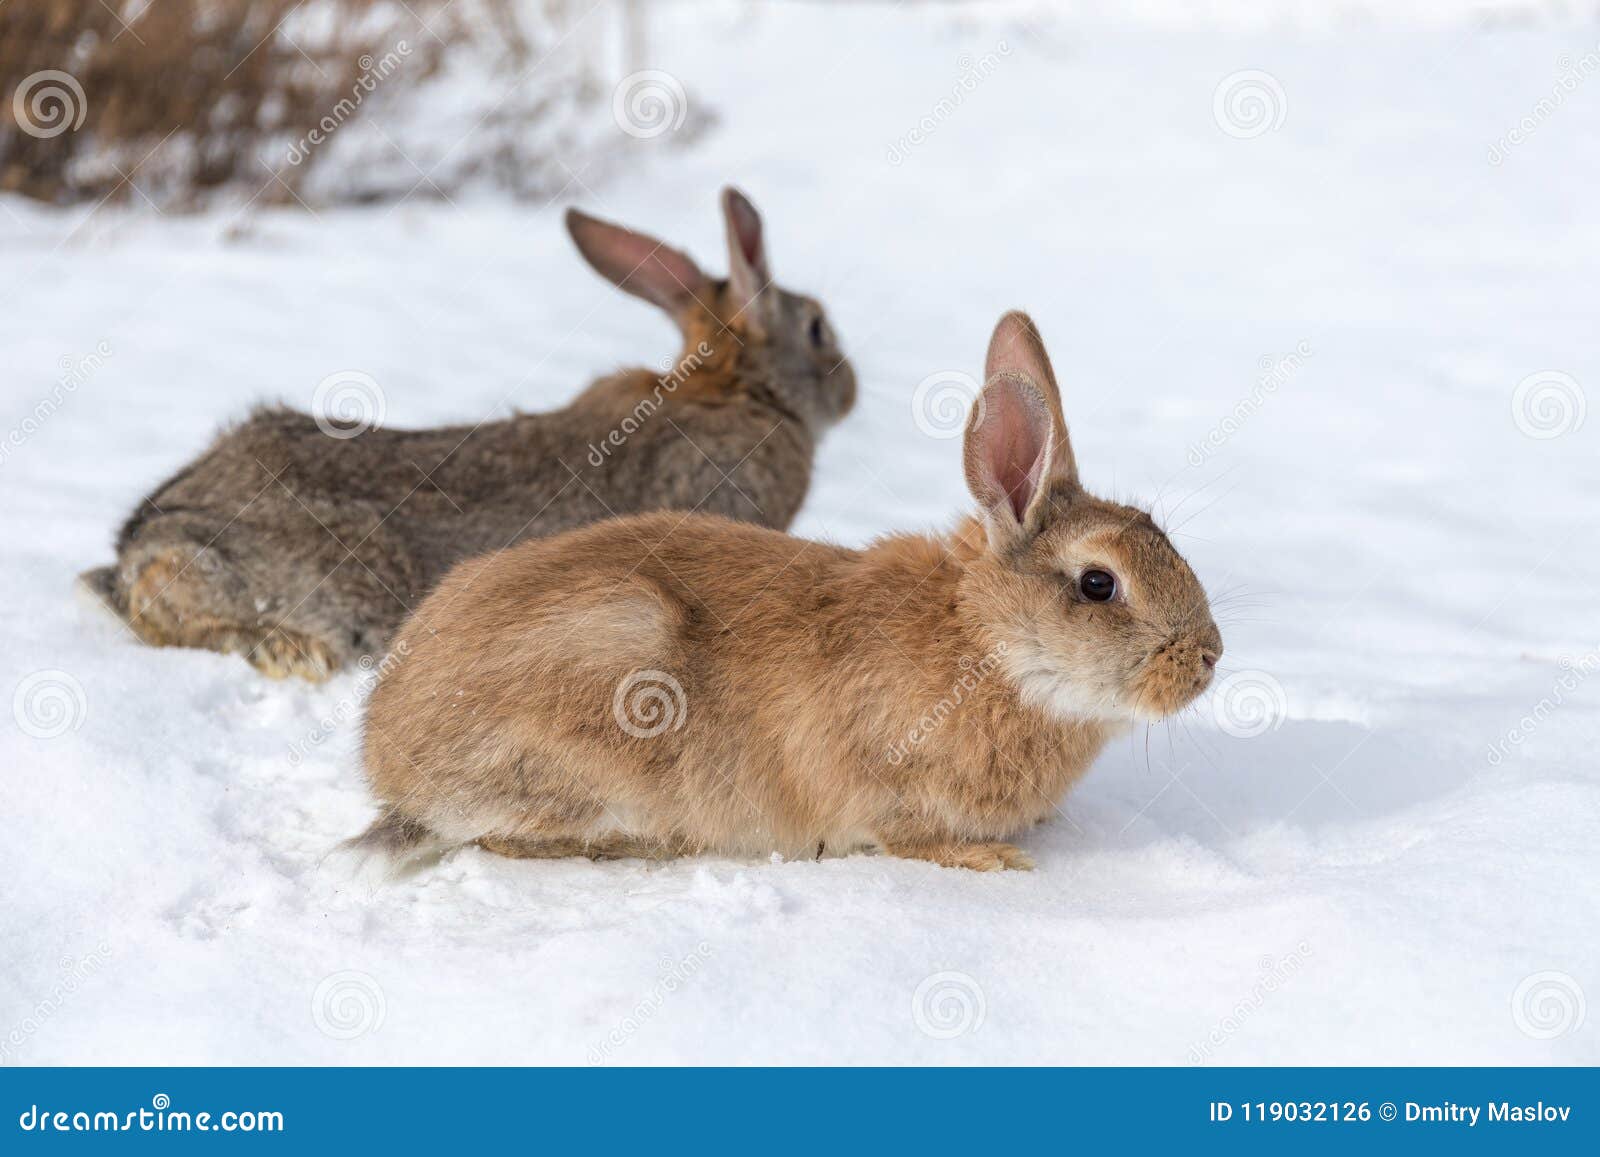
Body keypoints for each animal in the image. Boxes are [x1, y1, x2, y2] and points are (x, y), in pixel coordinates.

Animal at [353, 311, 1222, 873]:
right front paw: (995, 858)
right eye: (1099, 584)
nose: (1209, 657)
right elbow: (907, 835)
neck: (989, 648)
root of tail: (389, 759)